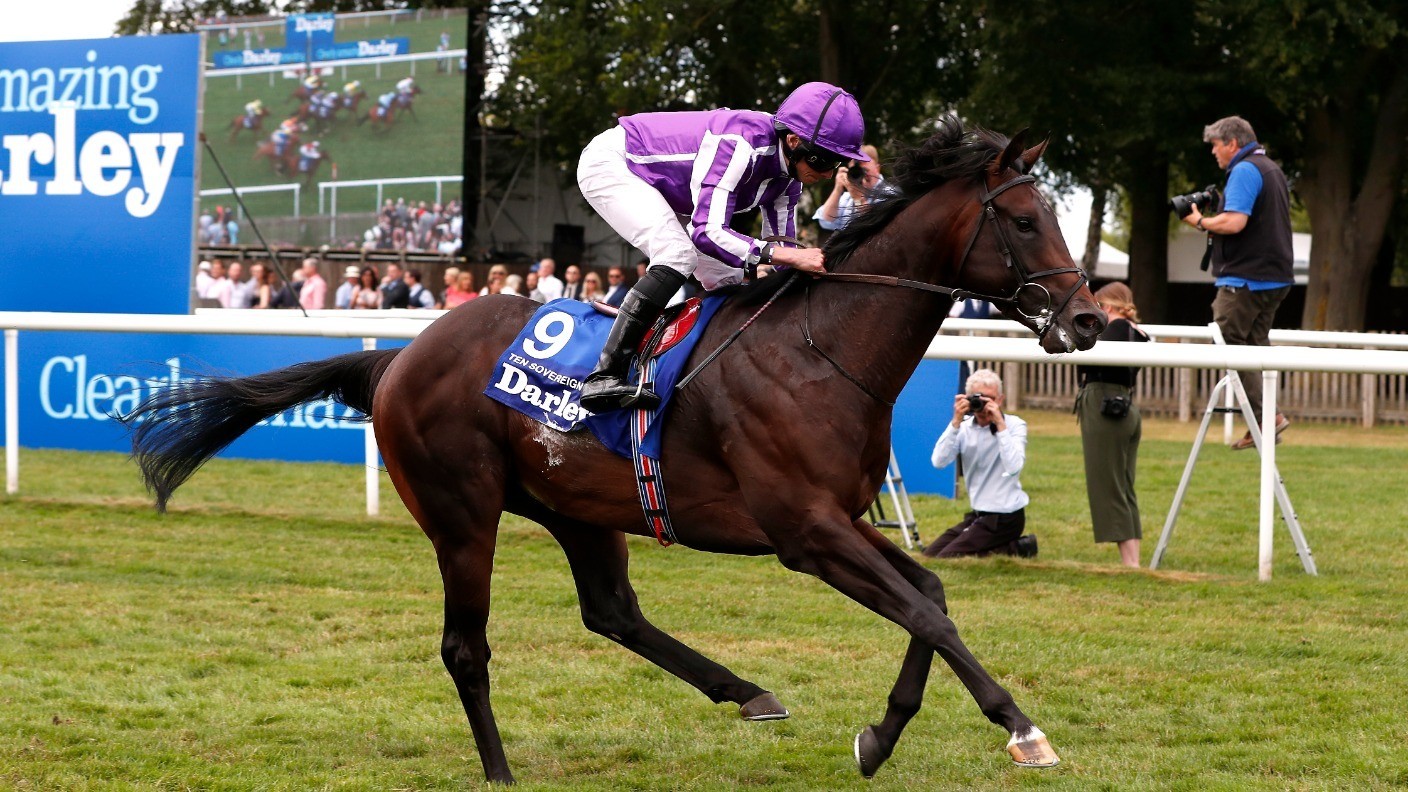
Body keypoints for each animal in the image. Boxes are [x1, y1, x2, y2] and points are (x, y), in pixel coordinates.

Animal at [124, 118, 1105, 785]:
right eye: (1024, 220)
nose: (1092, 322)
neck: (820, 349)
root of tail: (398, 357)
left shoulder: (840, 519)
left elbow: (928, 597)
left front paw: (880, 735)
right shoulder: (804, 533)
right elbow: (927, 615)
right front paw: (1020, 728)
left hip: (579, 508)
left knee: (612, 612)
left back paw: (746, 691)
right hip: (461, 517)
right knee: (466, 647)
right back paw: (501, 770)